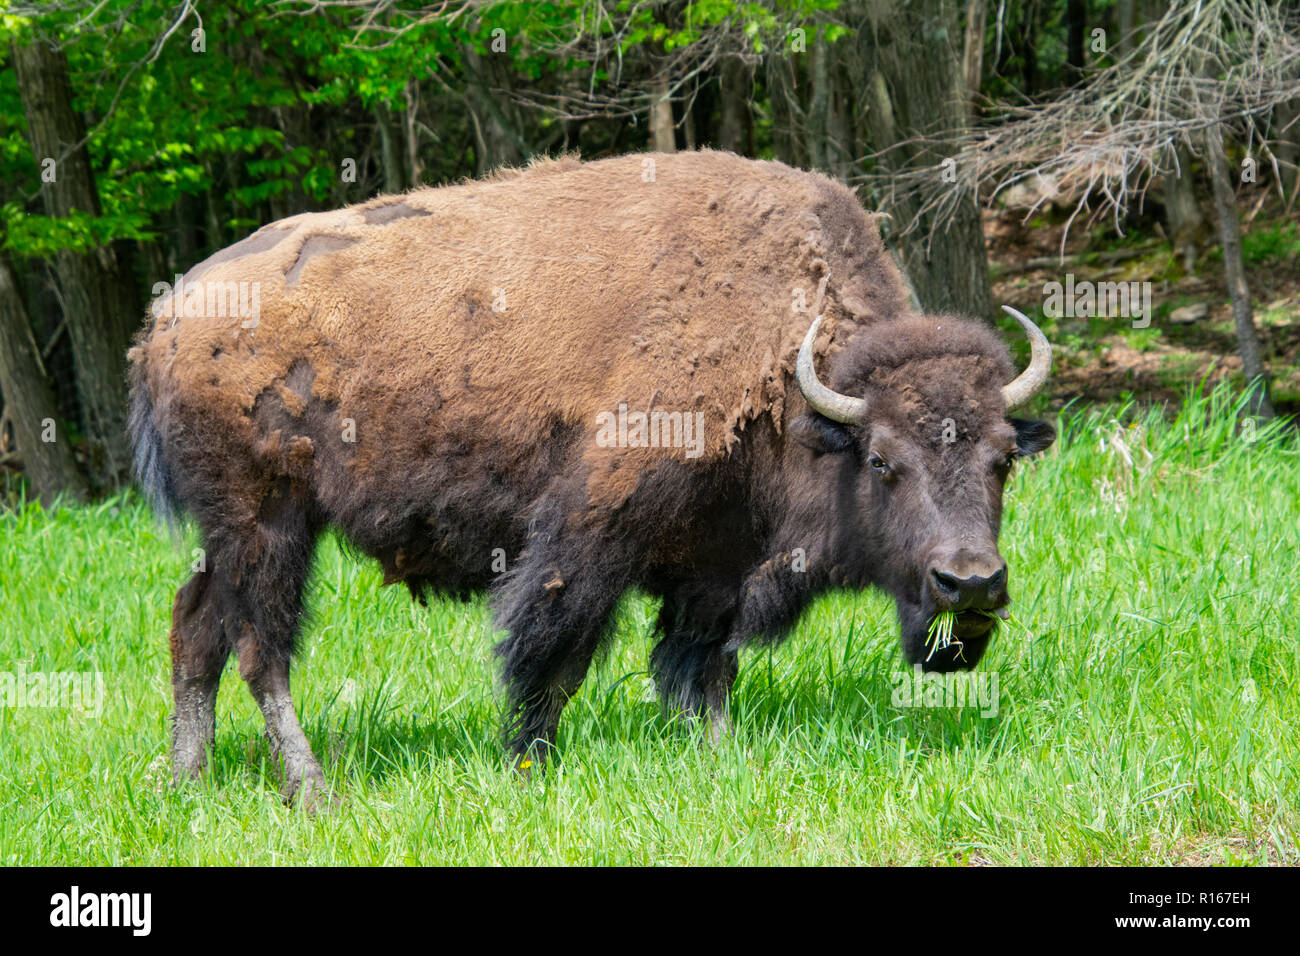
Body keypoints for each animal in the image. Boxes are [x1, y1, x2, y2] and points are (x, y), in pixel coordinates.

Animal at [128, 150, 1054, 804]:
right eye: (884, 461)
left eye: (1003, 458)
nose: (970, 583)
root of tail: (169, 315)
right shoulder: (592, 538)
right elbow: (555, 656)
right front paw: (527, 766)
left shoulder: (716, 562)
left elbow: (704, 667)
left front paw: (721, 756)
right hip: (267, 517)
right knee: (261, 645)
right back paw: (311, 789)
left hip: (237, 528)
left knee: (195, 625)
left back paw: (187, 781)